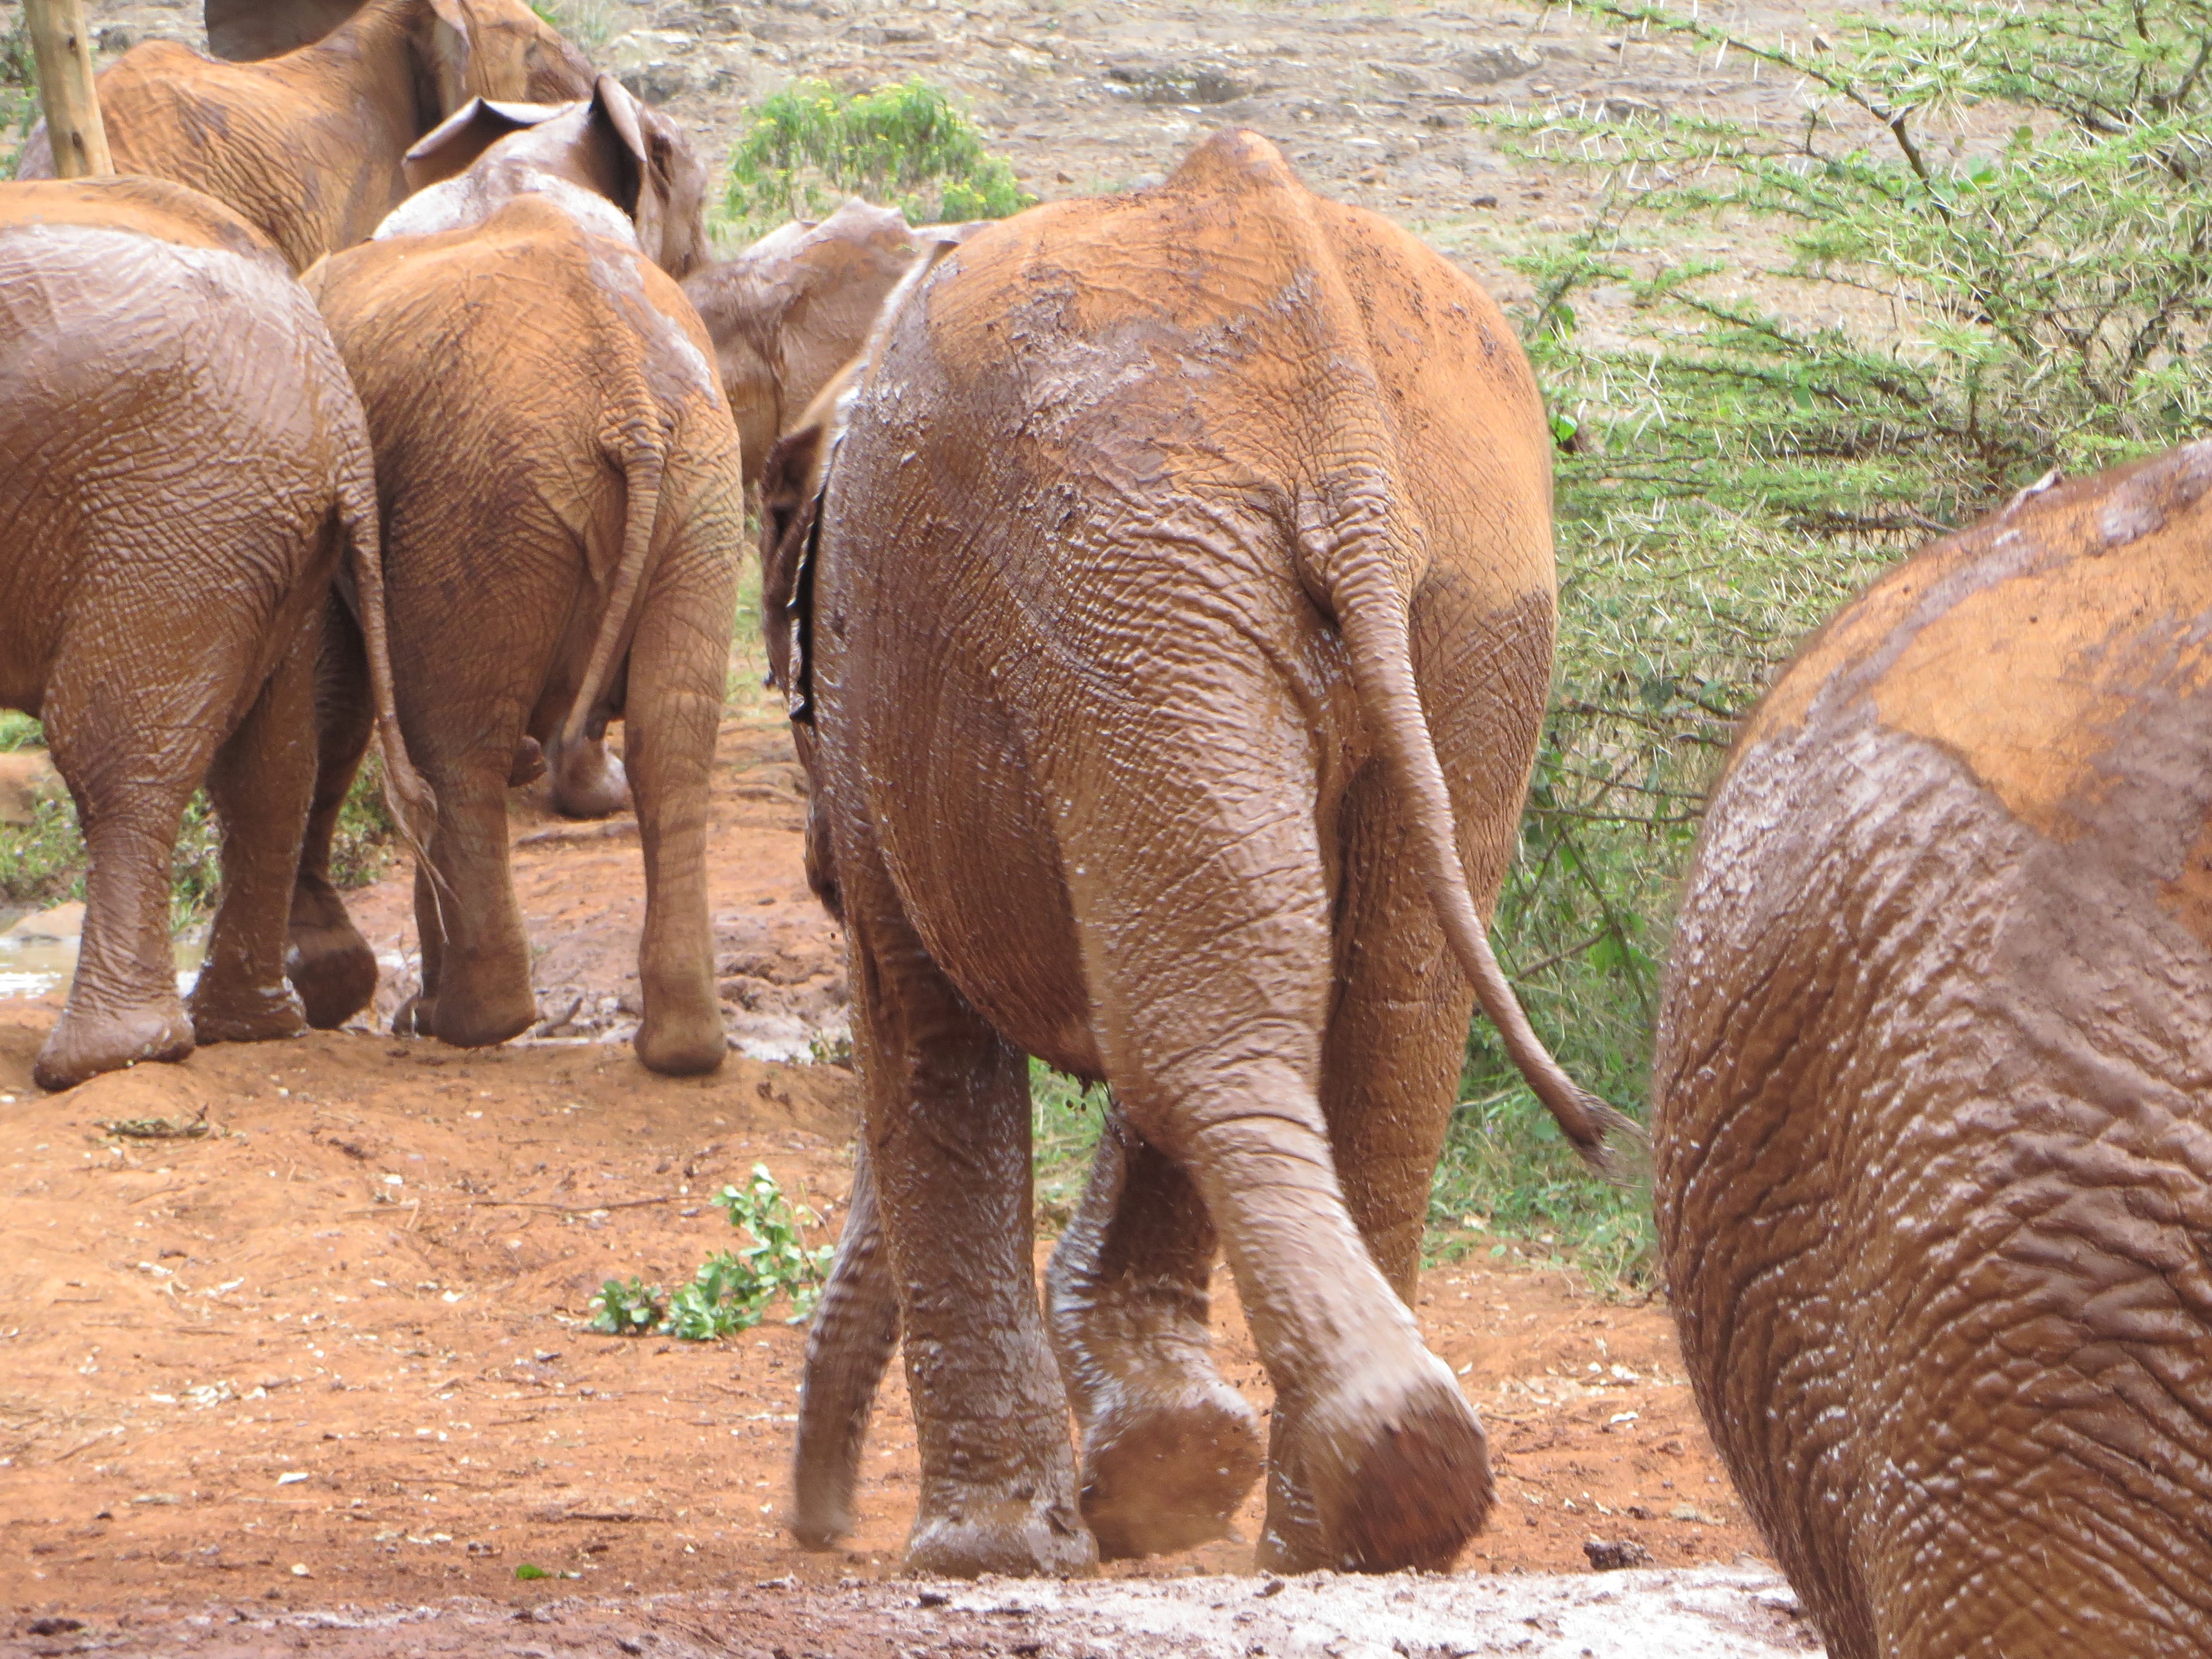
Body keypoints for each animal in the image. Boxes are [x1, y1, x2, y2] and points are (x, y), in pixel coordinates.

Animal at [0, 175, 425, 1093]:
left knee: (113, 752)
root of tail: (330, 384)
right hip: (258, 532)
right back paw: (251, 1026)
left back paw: (107, 1058)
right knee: (270, 764)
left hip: (175, 505)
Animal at [297, 75, 743, 1078]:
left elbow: (332, 690)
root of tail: (628, 399)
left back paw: (463, 1022)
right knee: (674, 733)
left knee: (453, 747)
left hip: (488, 493)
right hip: (687, 485)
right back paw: (681, 1049)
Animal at [753, 130, 1632, 1578]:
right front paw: (1143, 1482)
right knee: (1380, 1040)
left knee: (1204, 1037)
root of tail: (1335, 411)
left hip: (1128, 576)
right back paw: (1332, 1535)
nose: (816, 1530)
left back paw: (1370, 1486)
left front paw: (986, 1557)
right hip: (1436, 596)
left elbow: (925, 1032)